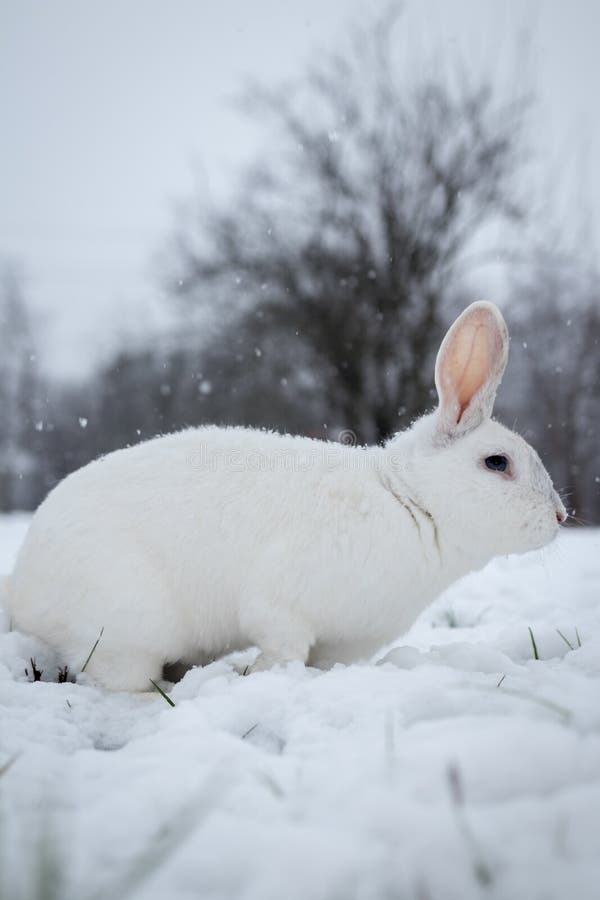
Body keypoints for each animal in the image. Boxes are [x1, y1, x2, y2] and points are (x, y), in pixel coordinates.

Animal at [3, 301, 566, 691]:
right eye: (497, 463)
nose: (560, 515)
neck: (412, 503)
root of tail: (24, 588)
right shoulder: (278, 605)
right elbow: (283, 645)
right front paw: (261, 676)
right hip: (127, 626)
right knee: (120, 678)